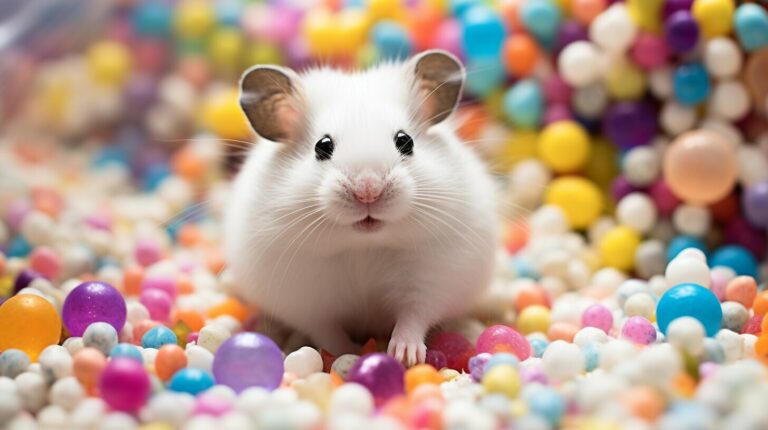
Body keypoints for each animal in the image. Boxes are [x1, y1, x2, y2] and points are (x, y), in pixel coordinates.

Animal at [224, 50, 498, 365]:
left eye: (405, 141)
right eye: (322, 146)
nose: (368, 191)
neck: (363, 246)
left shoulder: (432, 279)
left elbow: (413, 316)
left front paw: (406, 357)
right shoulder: (305, 300)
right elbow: (327, 331)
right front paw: (348, 355)